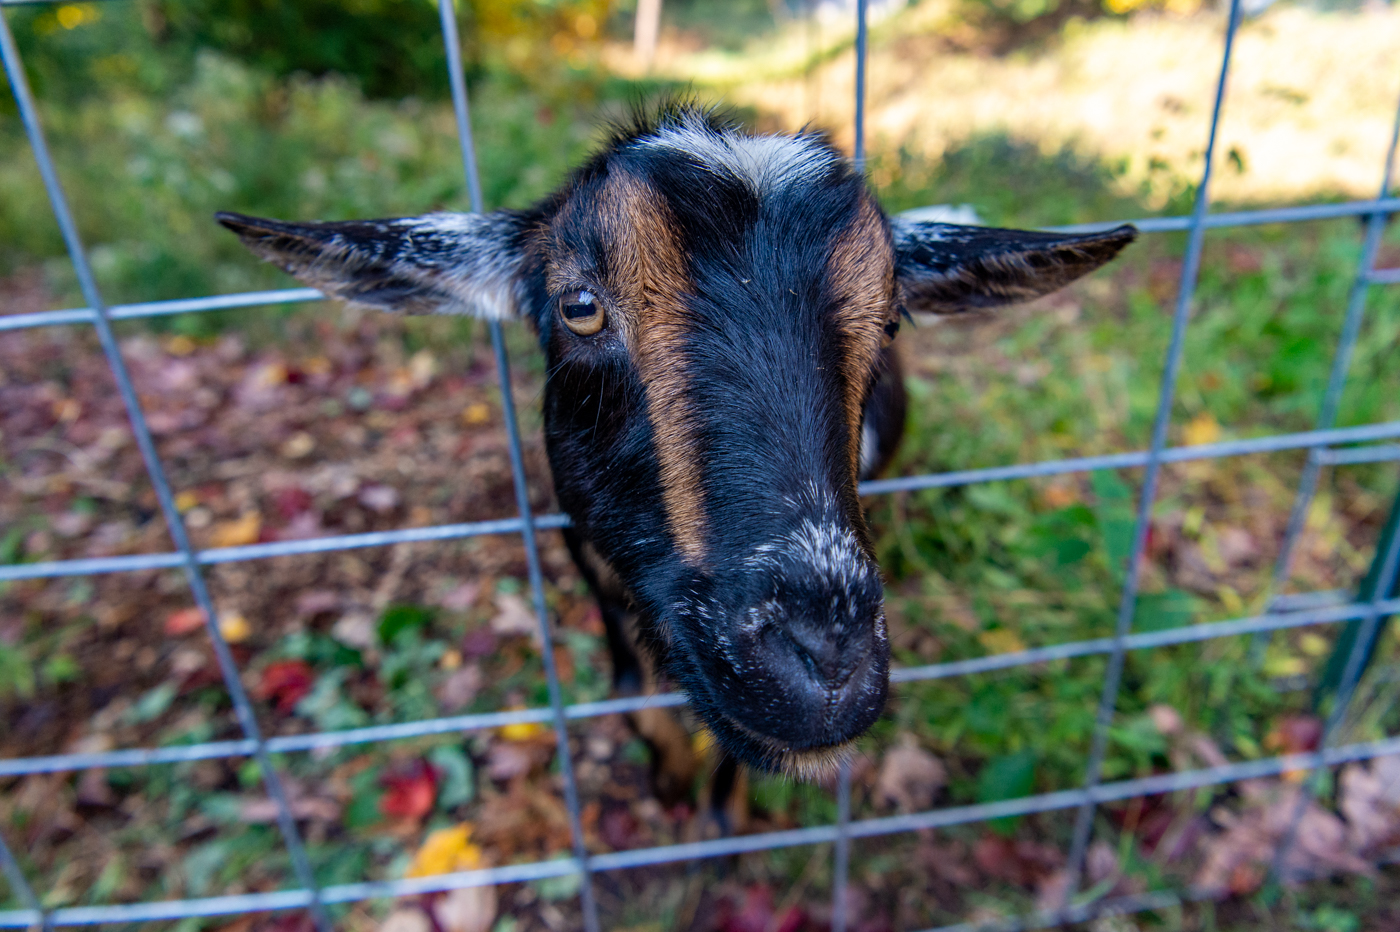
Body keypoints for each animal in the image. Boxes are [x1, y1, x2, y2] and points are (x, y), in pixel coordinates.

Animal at [217, 104, 1134, 781]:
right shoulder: (587, 555)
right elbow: (635, 696)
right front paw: (664, 777)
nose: (825, 668)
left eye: (891, 319)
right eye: (580, 305)